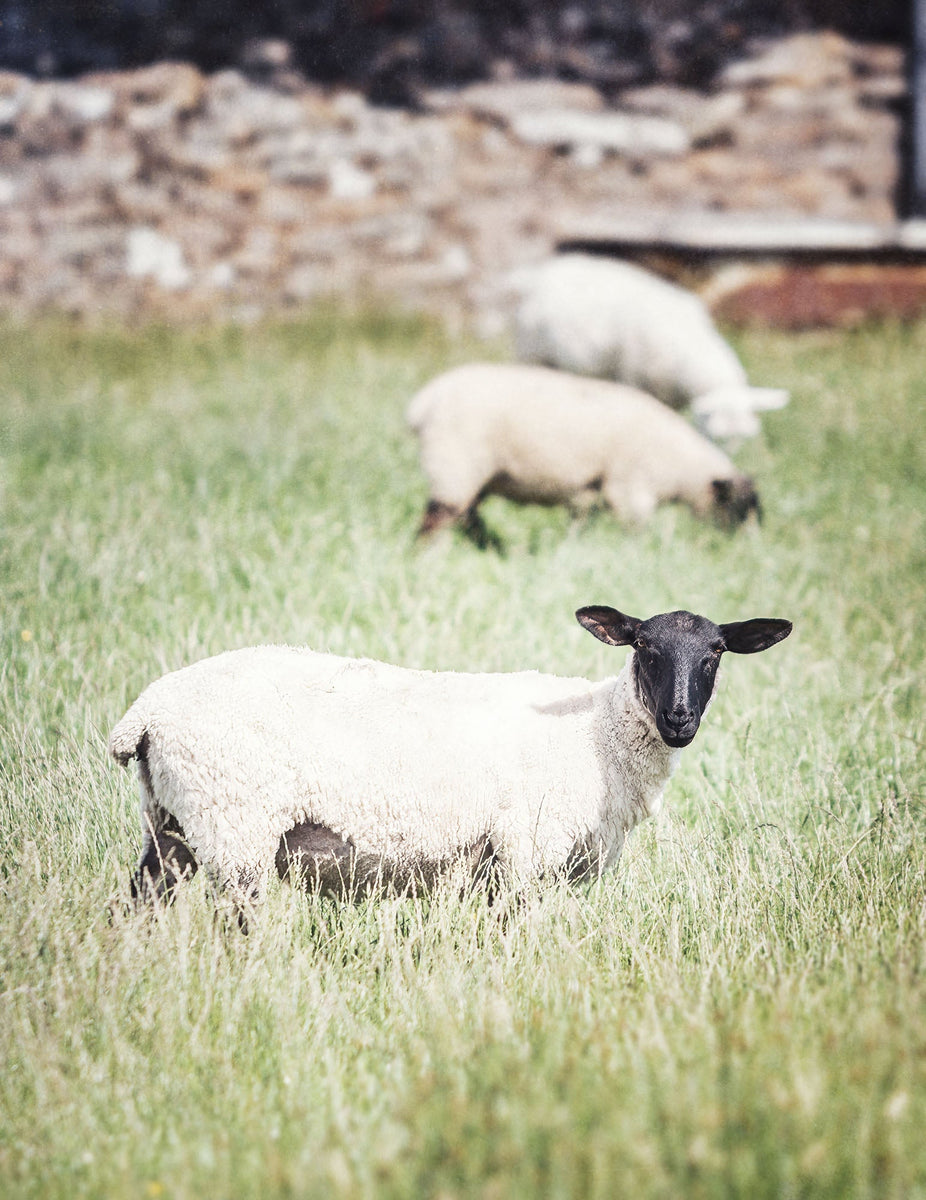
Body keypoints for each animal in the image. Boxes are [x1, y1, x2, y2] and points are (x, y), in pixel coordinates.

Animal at [109, 606, 792, 907]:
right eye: (645, 647)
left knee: (142, 899)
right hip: (234, 827)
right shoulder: (525, 852)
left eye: (715, 653)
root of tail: (143, 715)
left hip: (170, 821)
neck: (599, 734)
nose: (678, 719)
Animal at [406, 361, 760, 539]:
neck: (683, 468)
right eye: (737, 509)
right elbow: (635, 529)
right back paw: (431, 555)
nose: (747, 548)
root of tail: (423, 401)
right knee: (438, 516)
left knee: (466, 512)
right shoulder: (630, 487)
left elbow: (582, 522)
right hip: (454, 460)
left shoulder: (591, 489)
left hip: (473, 470)